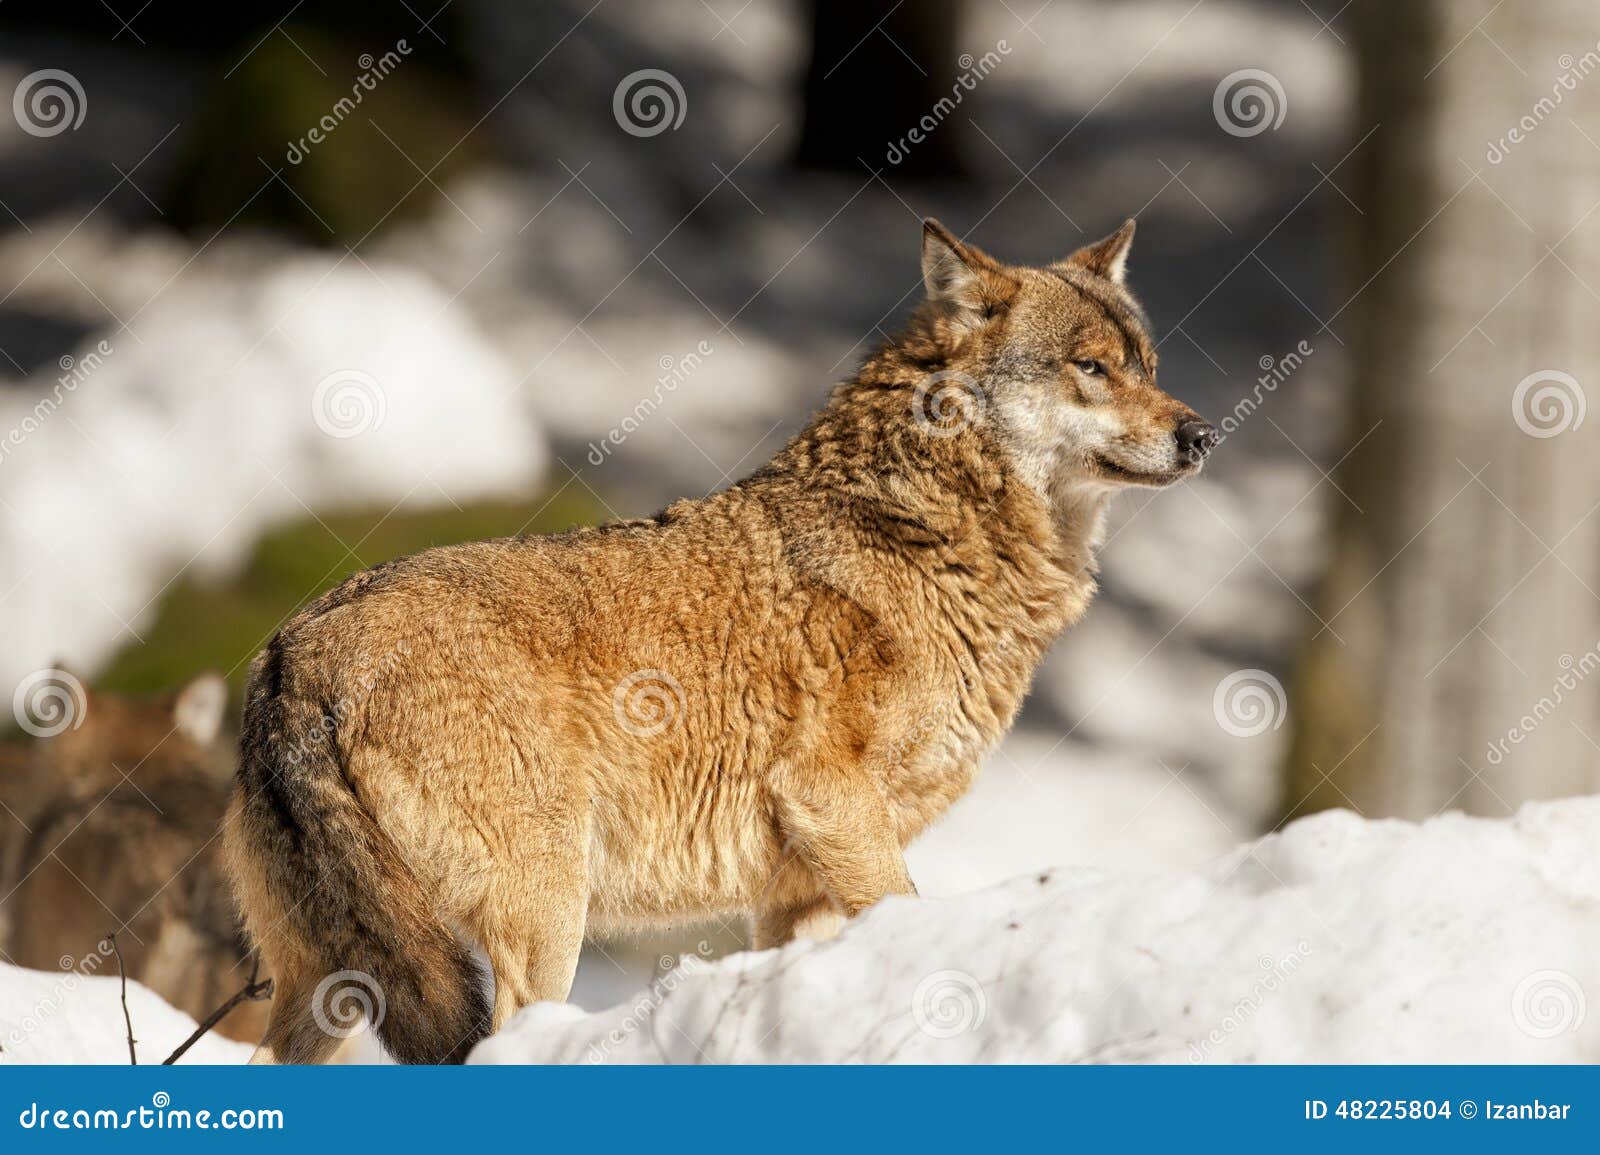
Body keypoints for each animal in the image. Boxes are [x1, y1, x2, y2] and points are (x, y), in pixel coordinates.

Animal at [225, 217, 1217, 1064]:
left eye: (1148, 364)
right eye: (1092, 367)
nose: (1202, 433)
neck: (933, 531)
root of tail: (294, 647)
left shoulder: (792, 888)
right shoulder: (829, 798)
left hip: (331, 983)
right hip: (544, 919)